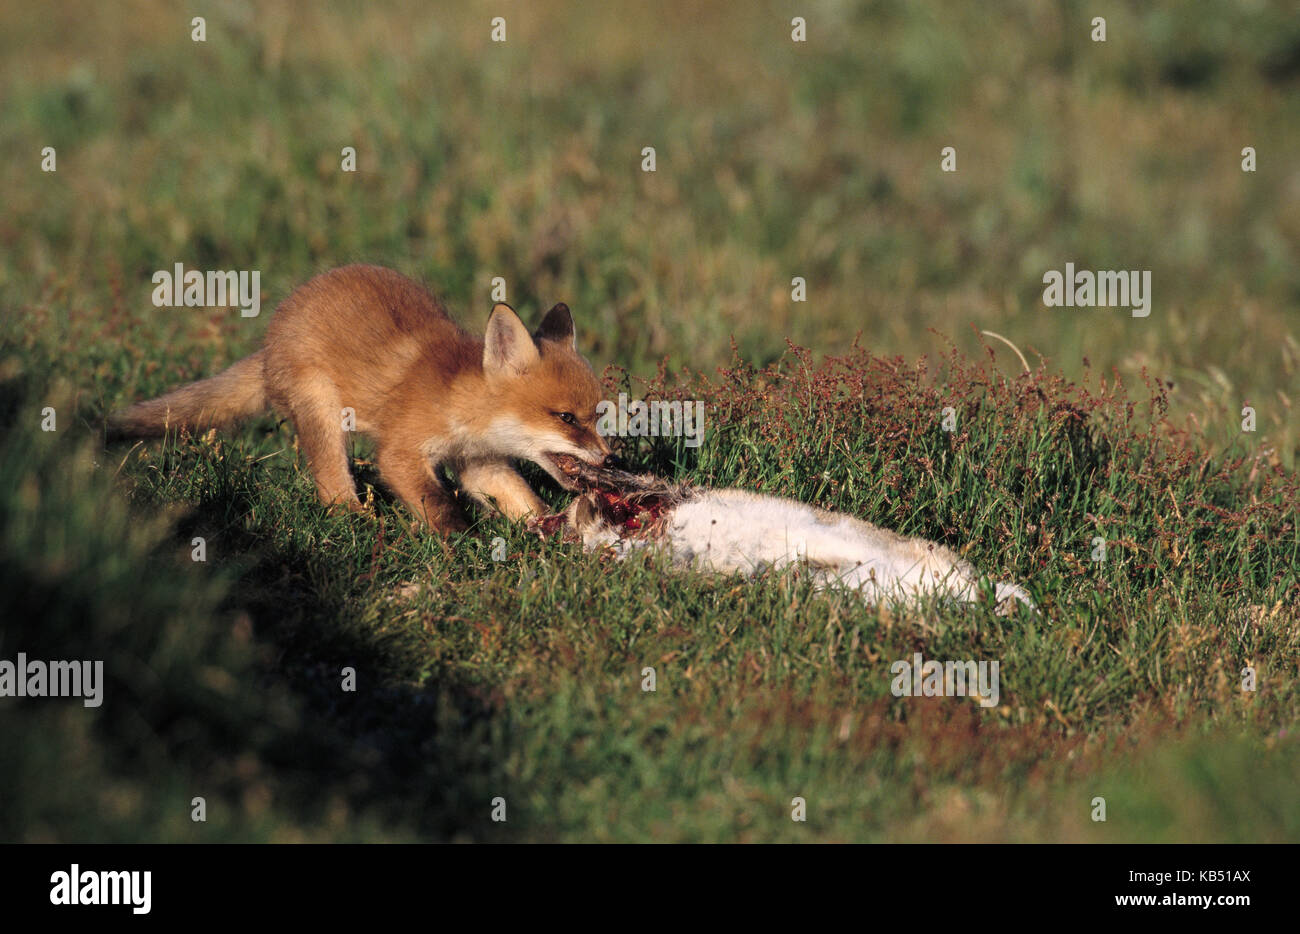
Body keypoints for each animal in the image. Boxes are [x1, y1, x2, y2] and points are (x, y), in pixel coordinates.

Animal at [108, 264, 613, 532]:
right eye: (566, 417)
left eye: (596, 415)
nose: (610, 458)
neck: (459, 401)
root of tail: (269, 343)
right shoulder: (402, 453)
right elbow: (441, 507)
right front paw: (465, 546)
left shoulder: (480, 461)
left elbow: (523, 498)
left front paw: (553, 531)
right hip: (324, 414)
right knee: (333, 491)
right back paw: (360, 523)